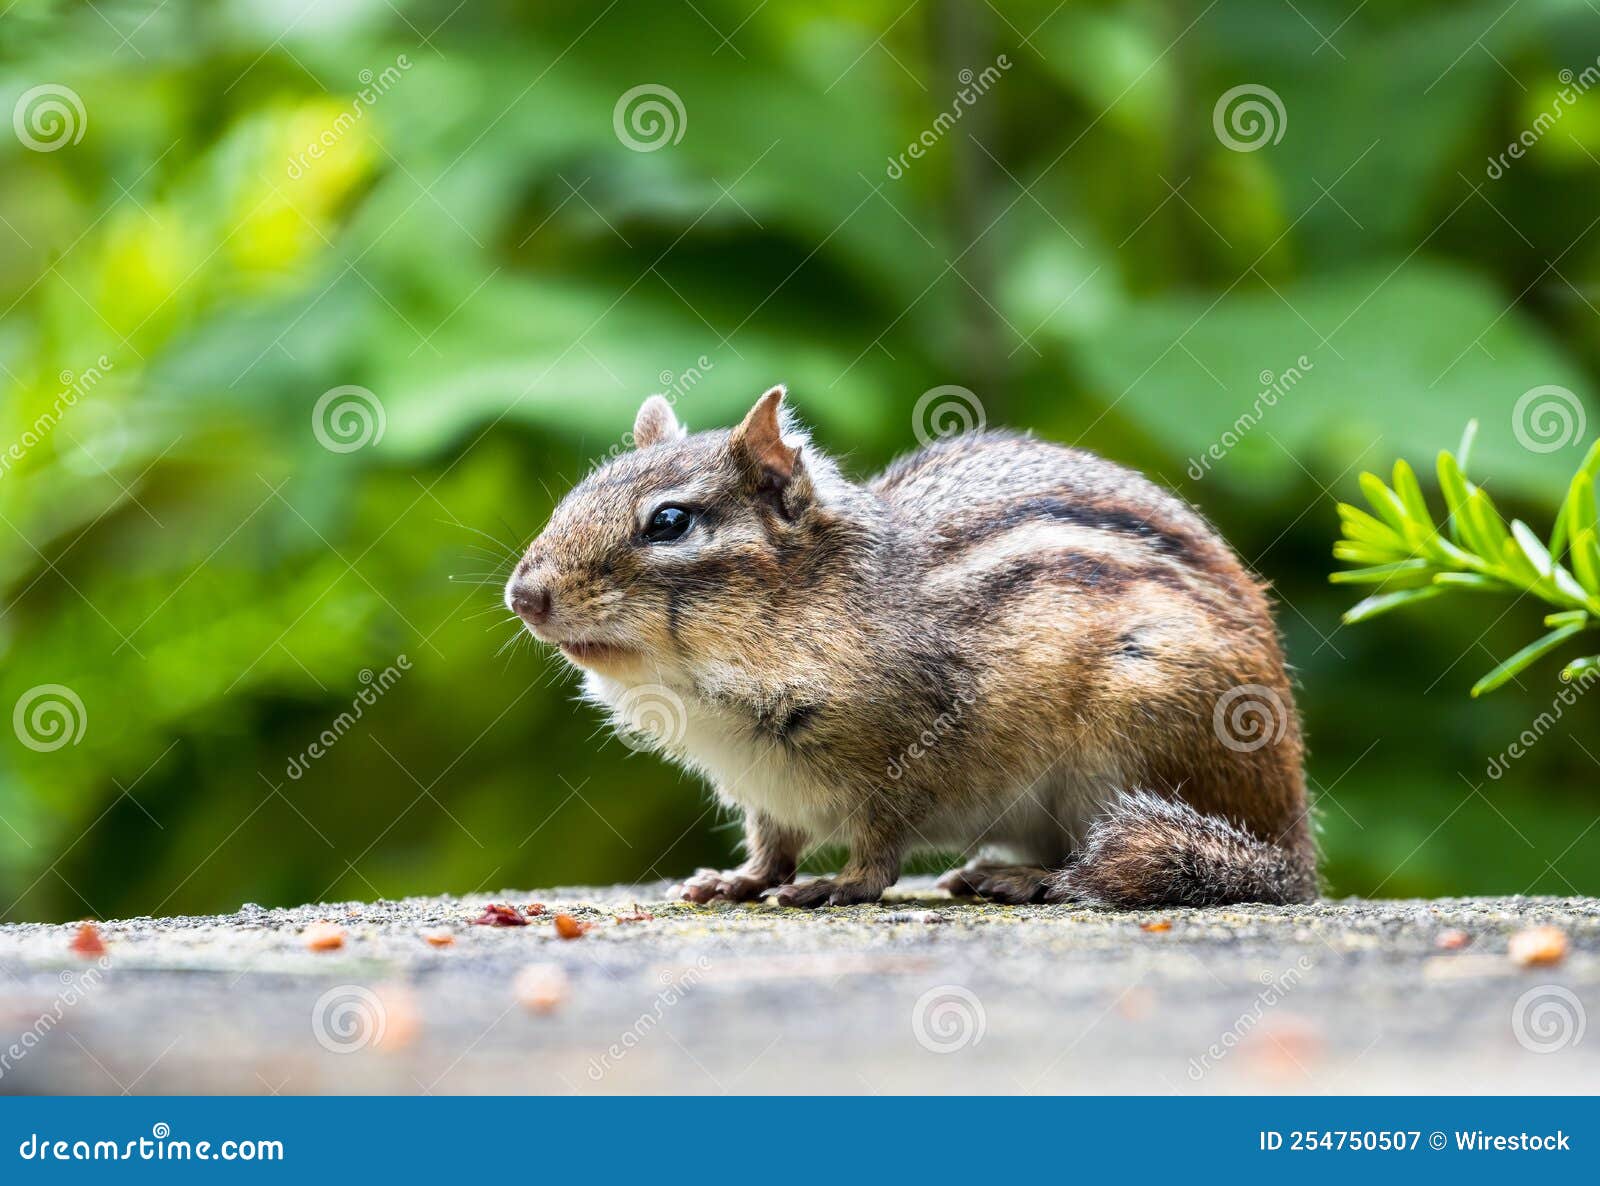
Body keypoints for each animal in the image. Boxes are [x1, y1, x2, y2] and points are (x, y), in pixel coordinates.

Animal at [505, 386, 1317, 909]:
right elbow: (771, 844)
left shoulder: (908, 757)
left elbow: (879, 845)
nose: (523, 597)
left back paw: (1027, 880)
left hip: (1135, 743)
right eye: (578, 493)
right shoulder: (762, 792)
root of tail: (1291, 848)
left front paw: (839, 885)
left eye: (669, 522)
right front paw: (738, 882)